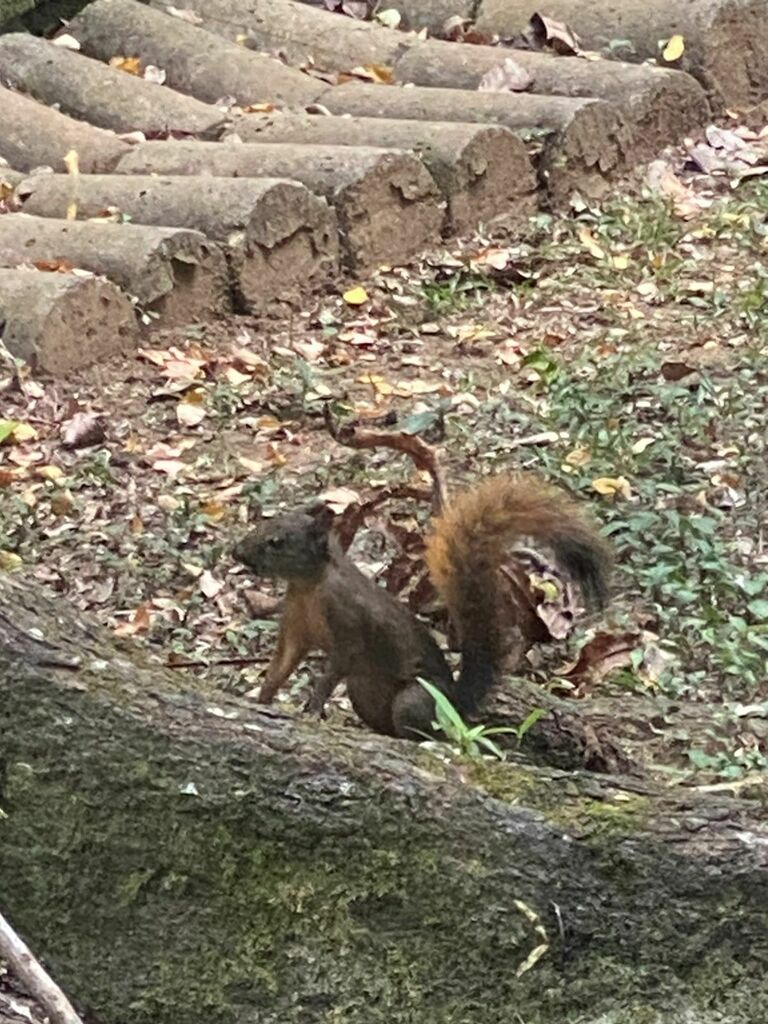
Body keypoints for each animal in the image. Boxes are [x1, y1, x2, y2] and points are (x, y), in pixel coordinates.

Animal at [232, 473, 611, 740]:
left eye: (276, 542)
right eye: (265, 525)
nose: (238, 553)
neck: (309, 586)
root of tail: (455, 708)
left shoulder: (348, 622)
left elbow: (336, 664)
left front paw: (311, 706)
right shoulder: (295, 625)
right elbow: (282, 664)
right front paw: (261, 699)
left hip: (412, 700)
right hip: (364, 692)